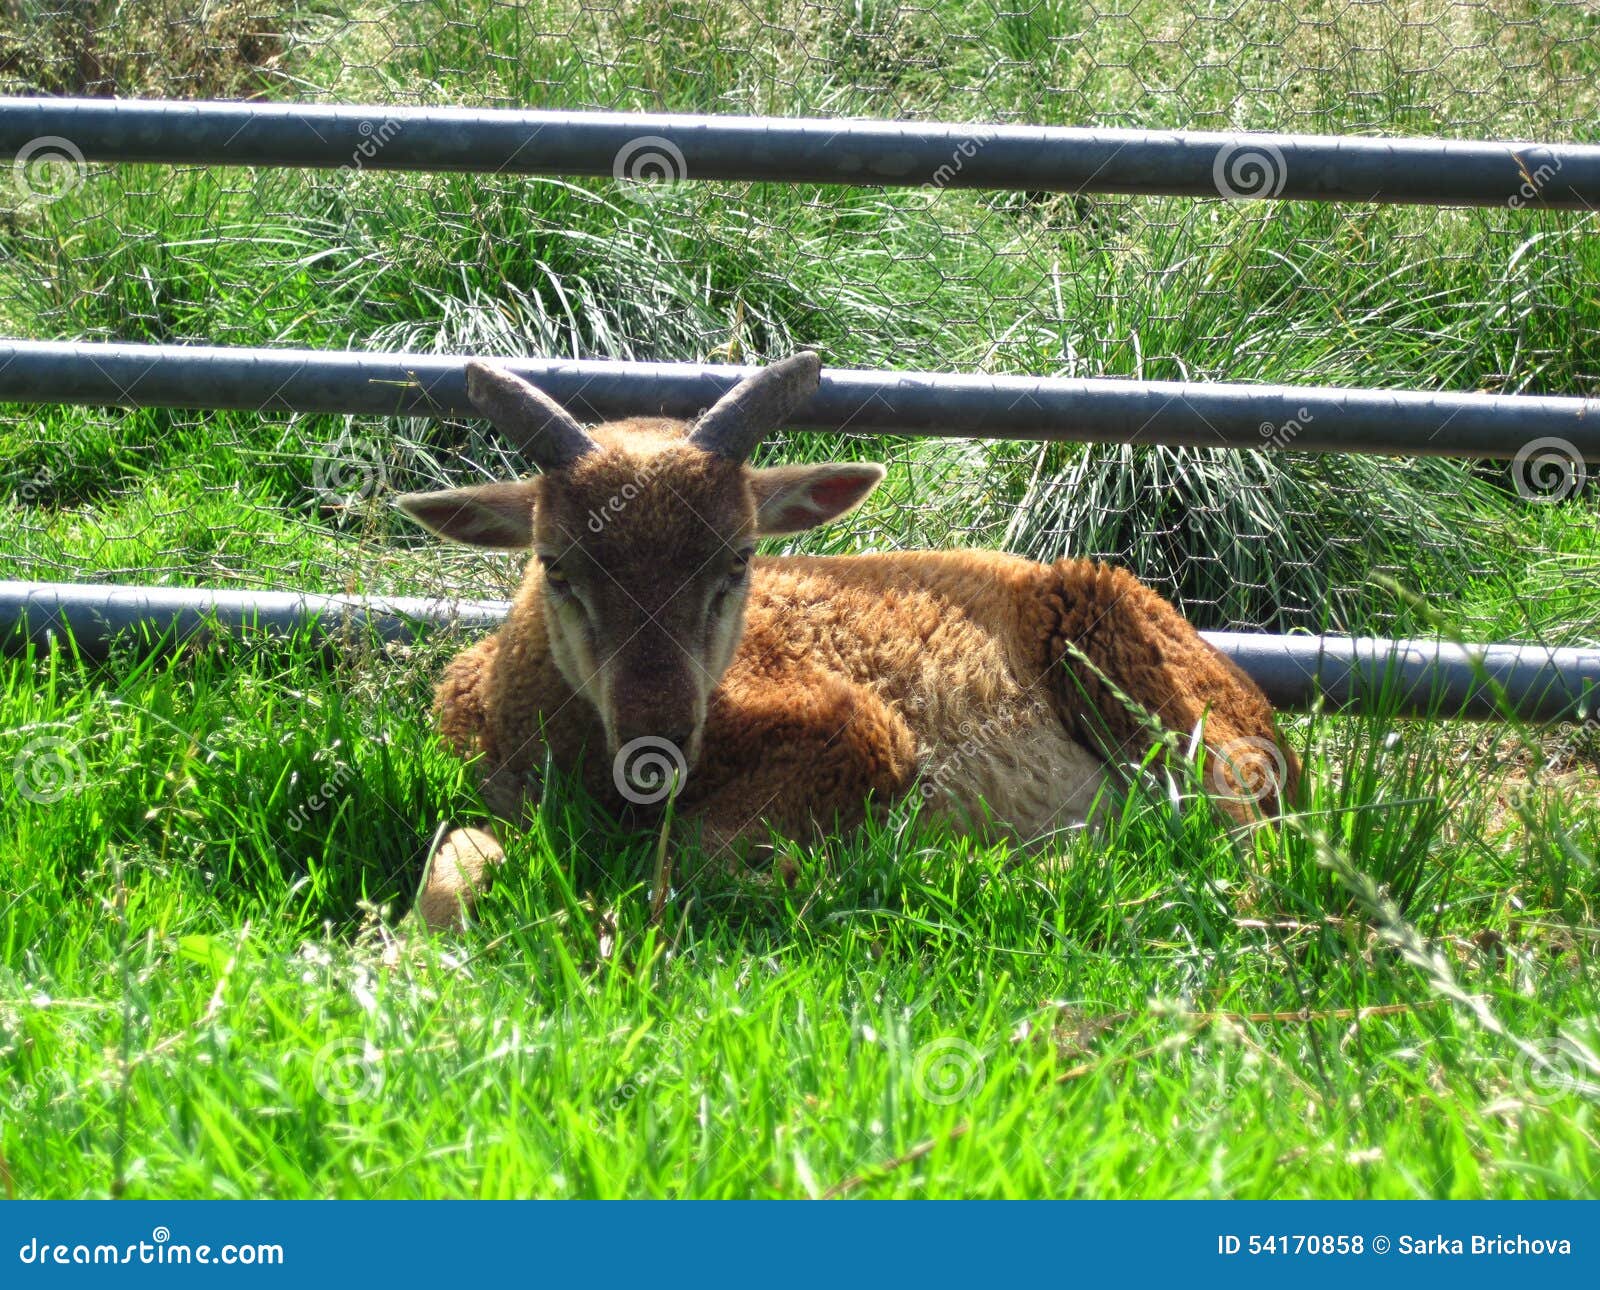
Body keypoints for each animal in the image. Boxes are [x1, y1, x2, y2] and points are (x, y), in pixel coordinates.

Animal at [397, 354, 1299, 930]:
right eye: (554, 564)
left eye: (740, 557)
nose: (657, 741)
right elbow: (455, 856)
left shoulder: (858, 733)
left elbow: (694, 858)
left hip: (1151, 689)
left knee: (1246, 844)